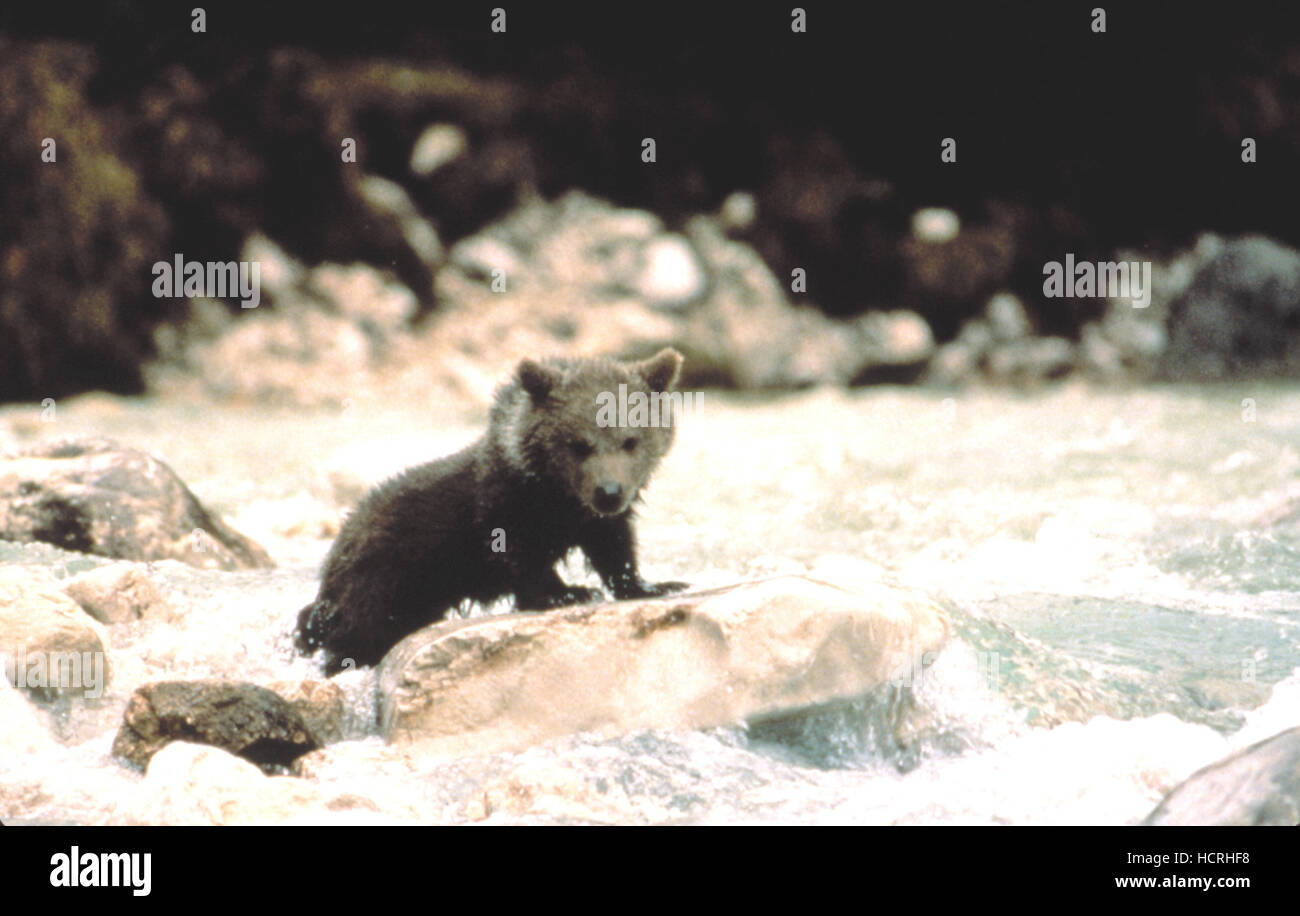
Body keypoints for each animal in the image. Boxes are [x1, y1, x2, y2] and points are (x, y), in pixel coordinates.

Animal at [294, 348, 689, 674]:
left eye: (630, 441)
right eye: (579, 444)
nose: (608, 493)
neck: (554, 495)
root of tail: (332, 560)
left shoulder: (594, 519)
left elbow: (614, 547)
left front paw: (653, 584)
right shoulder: (505, 508)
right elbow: (523, 559)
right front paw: (569, 592)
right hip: (380, 583)